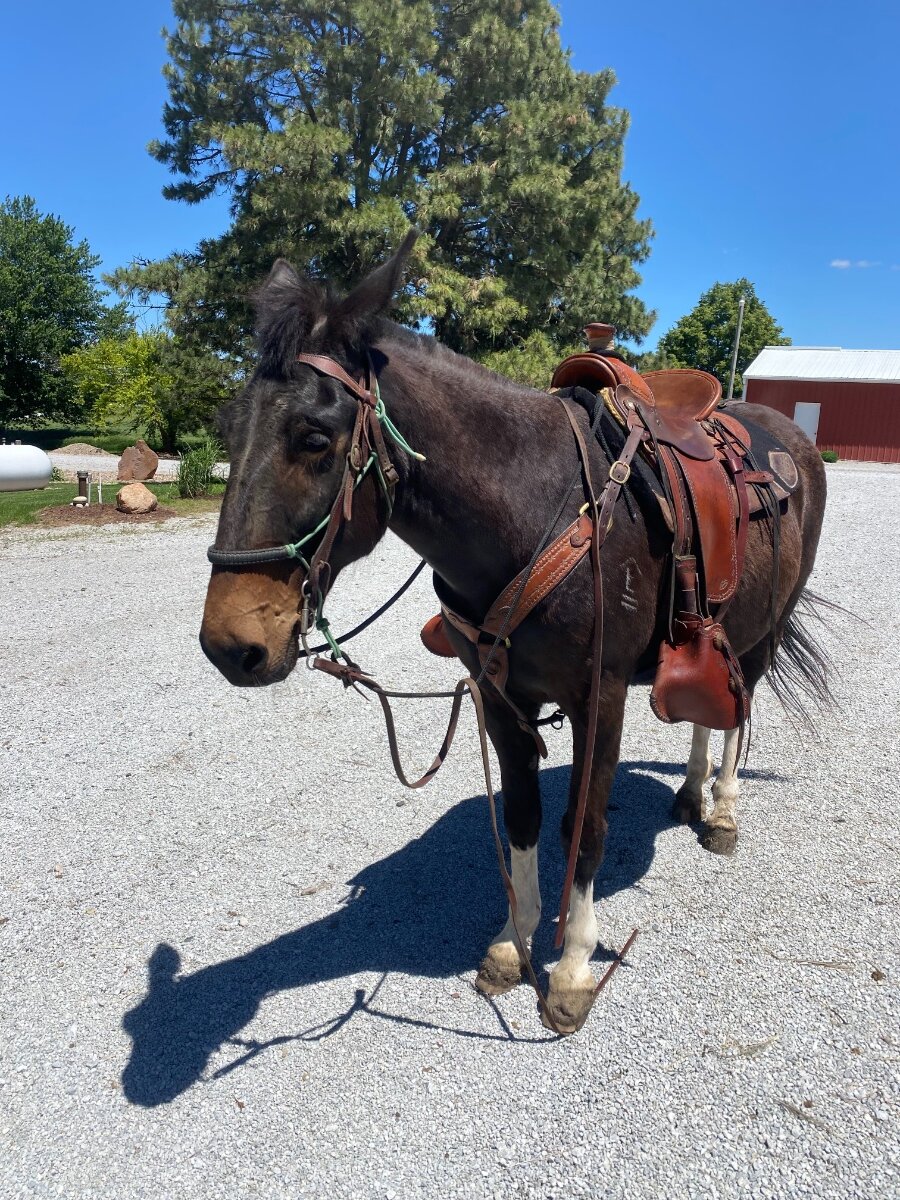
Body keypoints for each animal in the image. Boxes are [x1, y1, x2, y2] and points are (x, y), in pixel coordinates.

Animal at [199, 233, 829, 1034]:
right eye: (227, 431)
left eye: (314, 437)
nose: (228, 643)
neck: (533, 505)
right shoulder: (499, 696)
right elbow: (525, 817)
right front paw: (513, 942)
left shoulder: (602, 698)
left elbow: (583, 829)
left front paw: (572, 968)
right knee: (707, 708)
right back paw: (689, 795)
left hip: (763, 631)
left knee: (736, 719)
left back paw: (720, 809)